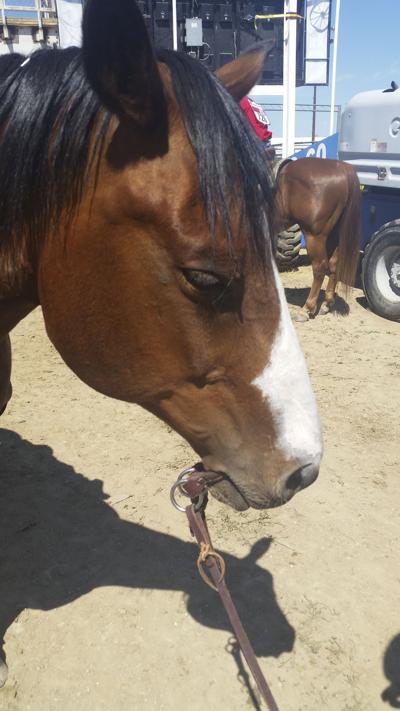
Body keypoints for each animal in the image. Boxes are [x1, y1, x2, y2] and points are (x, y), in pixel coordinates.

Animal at [275, 157, 361, 321]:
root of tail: (342, 168)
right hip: (334, 234)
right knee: (334, 265)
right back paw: (327, 304)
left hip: (314, 236)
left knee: (320, 267)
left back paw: (307, 309)